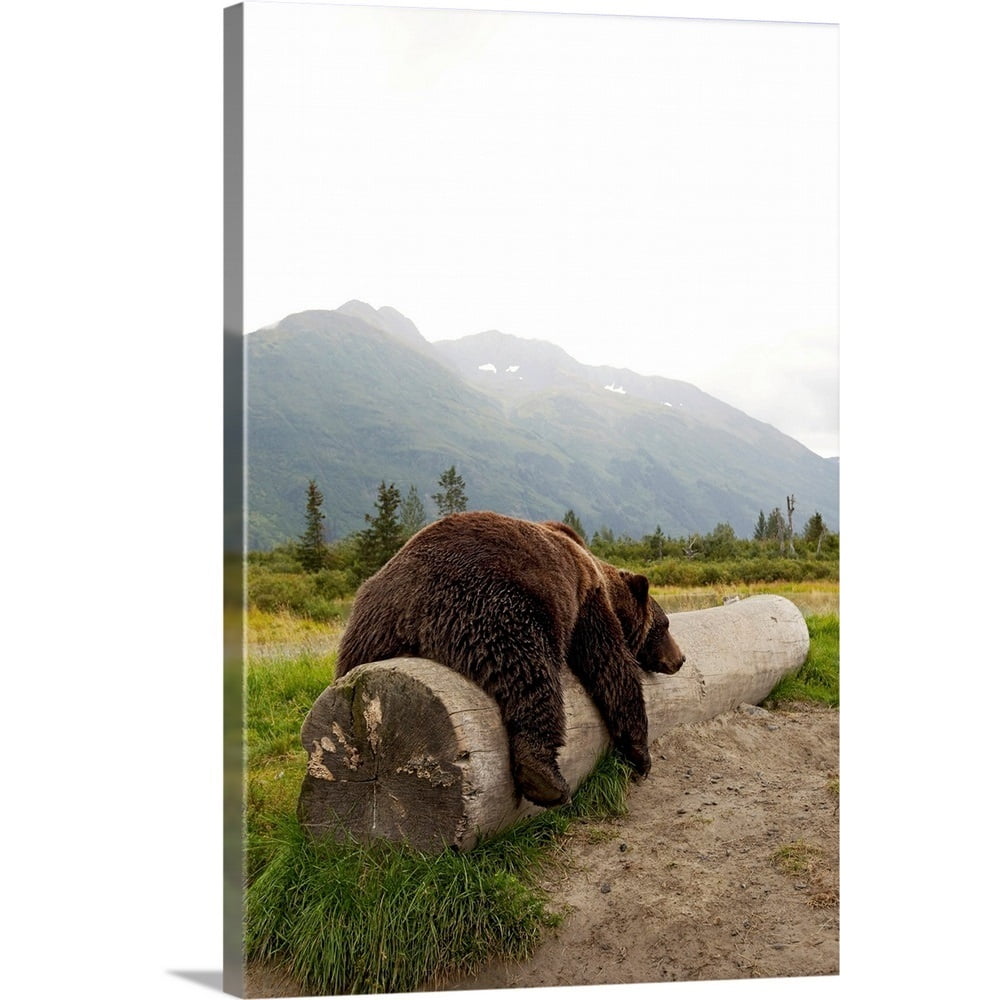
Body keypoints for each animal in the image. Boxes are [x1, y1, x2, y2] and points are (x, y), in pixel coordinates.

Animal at [336, 510, 685, 807]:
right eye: (665, 625)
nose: (680, 658)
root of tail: (409, 606)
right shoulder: (586, 602)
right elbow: (611, 667)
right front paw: (641, 755)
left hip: (367, 633)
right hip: (496, 606)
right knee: (531, 674)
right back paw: (546, 780)